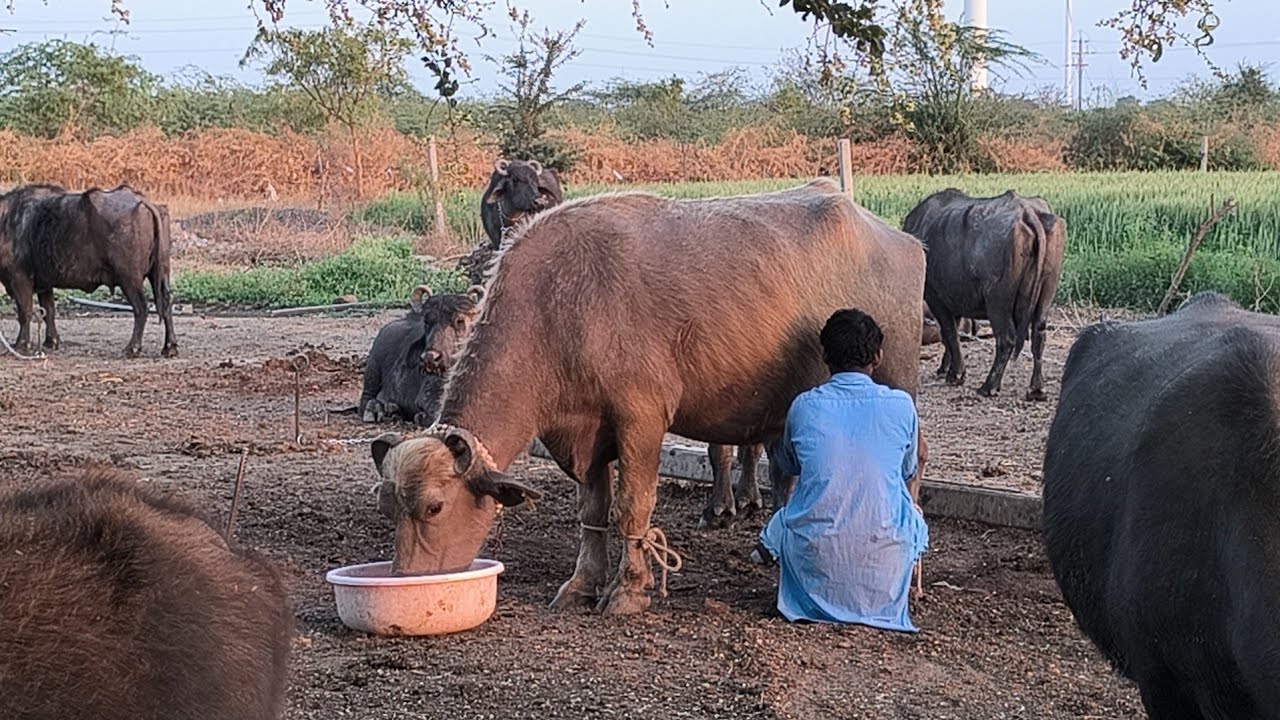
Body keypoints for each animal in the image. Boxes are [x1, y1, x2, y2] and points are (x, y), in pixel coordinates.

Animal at [0, 182, 178, 358]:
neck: (5, 220)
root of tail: (142, 201)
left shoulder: (19, 278)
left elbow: (25, 312)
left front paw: (20, 345)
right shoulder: (44, 284)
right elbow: (49, 311)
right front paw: (51, 342)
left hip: (129, 278)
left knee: (141, 308)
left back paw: (133, 348)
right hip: (160, 273)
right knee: (167, 303)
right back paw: (169, 347)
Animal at [903, 188, 1065, 399]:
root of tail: (1028, 213)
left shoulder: (936, 298)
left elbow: (949, 333)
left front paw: (956, 374)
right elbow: (951, 334)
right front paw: (946, 369)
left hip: (997, 301)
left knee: (1006, 339)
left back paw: (989, 386)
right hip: (1045, 295)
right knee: (1039, 334)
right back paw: (1036, 389)